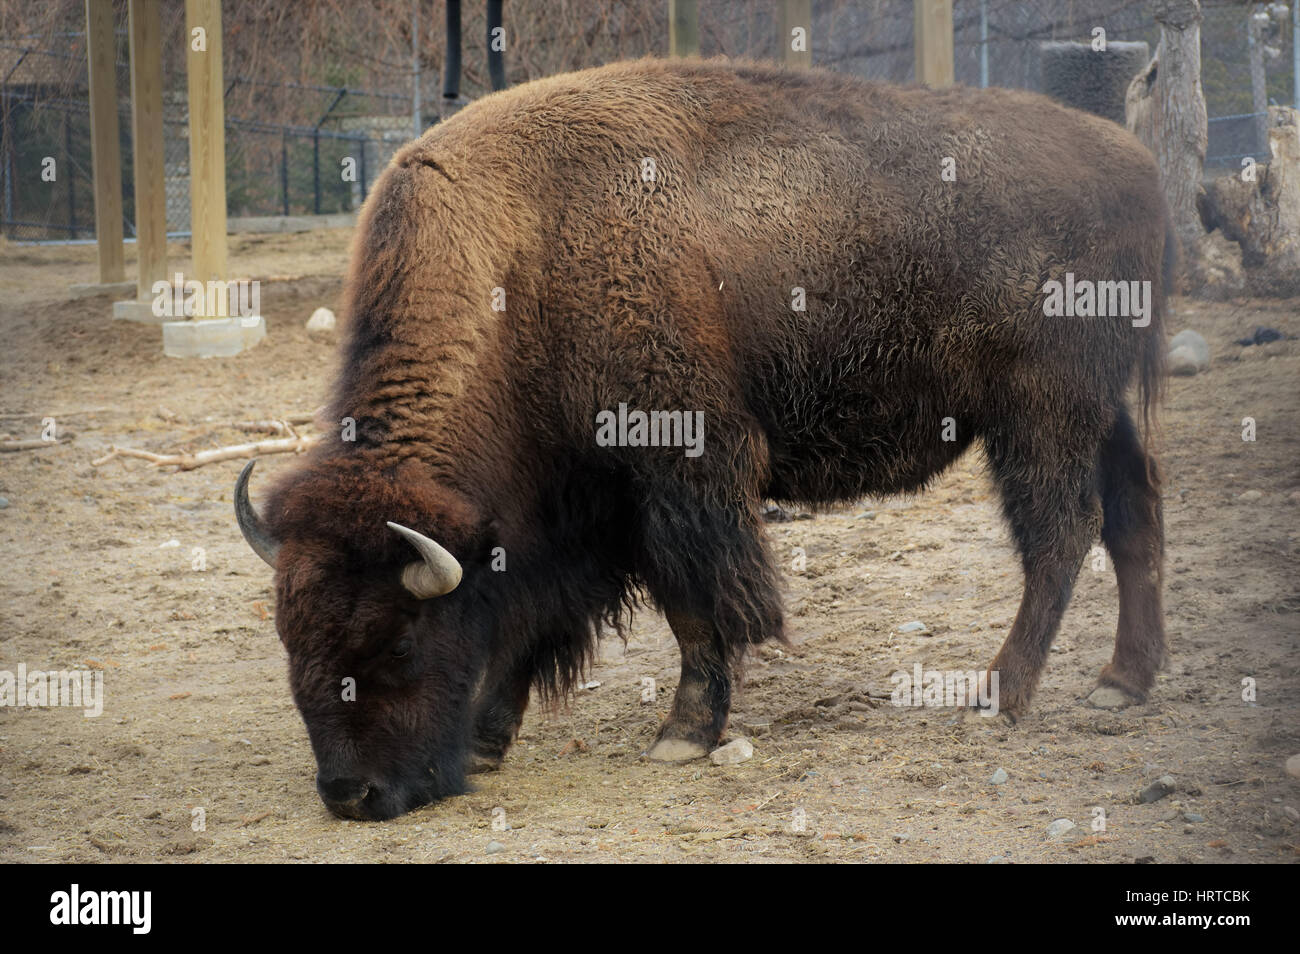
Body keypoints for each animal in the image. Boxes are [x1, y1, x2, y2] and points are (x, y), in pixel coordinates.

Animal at [236, 58, 1171, 820]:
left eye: (398, 639)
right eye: (289, 635)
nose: (351, 795)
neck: (519, 261)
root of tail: (1138, 163)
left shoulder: (680, 472)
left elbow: (696, 606)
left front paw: (682, 736)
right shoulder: (584, 502)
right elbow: (543, 616)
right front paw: (488, 738)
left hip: (1039, 414)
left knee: (1061, 535)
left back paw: (999, 696)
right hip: (1101, 410)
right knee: (1135, 518)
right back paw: (1121, 684)